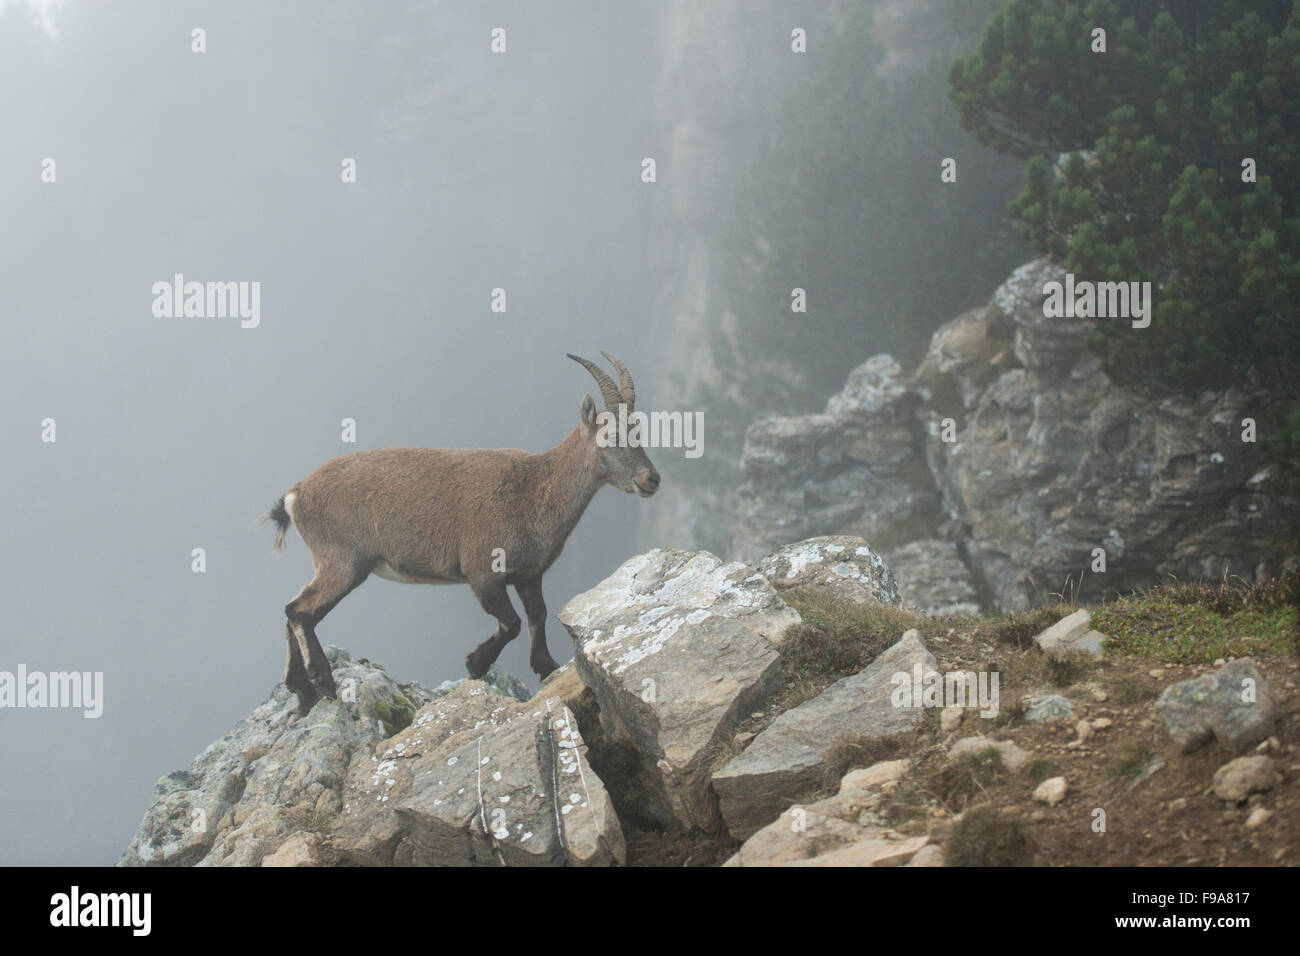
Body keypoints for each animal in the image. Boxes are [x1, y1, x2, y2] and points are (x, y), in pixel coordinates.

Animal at [262, 352, 660, 714]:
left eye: (639, 432)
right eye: (611, 435)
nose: (651, 479)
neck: (536, 486)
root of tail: (295, 494)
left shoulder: (528, 574)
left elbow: (537, 615)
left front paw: (545, 665)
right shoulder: (481, 572)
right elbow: (512, 622)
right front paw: (476, 663)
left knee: (293, 609)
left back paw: (301, 690)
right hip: (343, 561)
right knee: (299, 611)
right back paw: (322, 682)